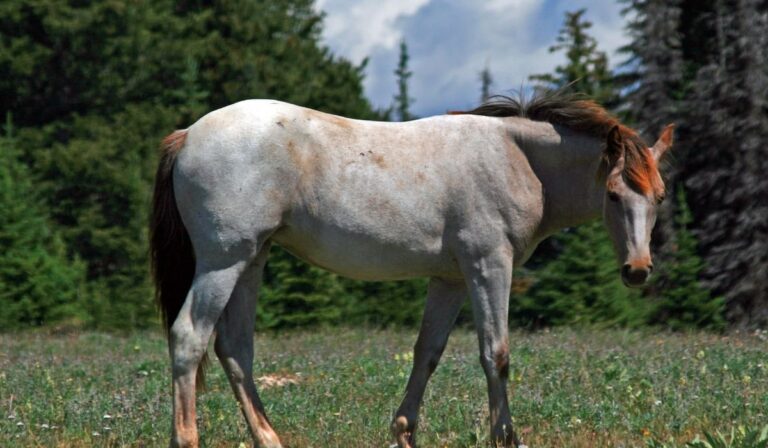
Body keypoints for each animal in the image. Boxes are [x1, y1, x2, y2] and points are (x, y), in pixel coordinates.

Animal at [150, 90, 673, 448]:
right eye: (613, 194)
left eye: (660, 196)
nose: (637, 270)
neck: (519, 160)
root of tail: (188, 134)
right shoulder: (488, 266)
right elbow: (496, 354)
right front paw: (506, 436)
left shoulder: (450, 279)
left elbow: (428, 353)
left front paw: (404, 430)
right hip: (224, 261)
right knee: (190, 337)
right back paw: (187, 437)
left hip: (252, 259)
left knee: (236, 349)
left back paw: (270, 438)